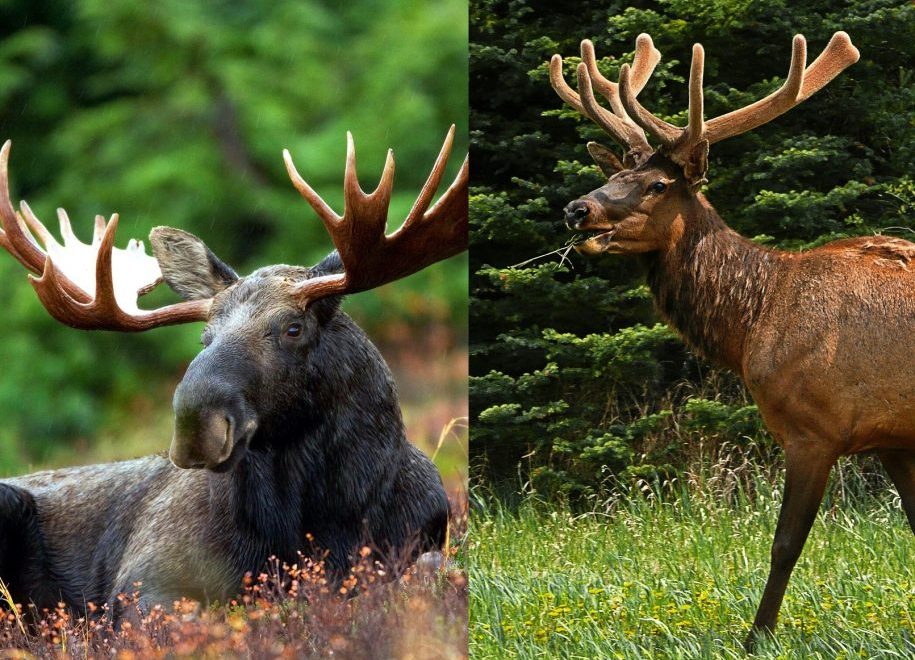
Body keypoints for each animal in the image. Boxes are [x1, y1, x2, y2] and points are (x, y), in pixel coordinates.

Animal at [0, 127, 467, 620]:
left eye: (293, 328)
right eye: (205, 336)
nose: (194, 426)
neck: (323, 519)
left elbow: (431, 567)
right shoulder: (145, 581)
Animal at [549, 31, 915, 647]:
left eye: (657, 184)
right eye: (614, 175)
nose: (578, 209)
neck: (751, 323)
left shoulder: (816, 429)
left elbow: (785, 543)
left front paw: (758, 636)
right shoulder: (893, 437)